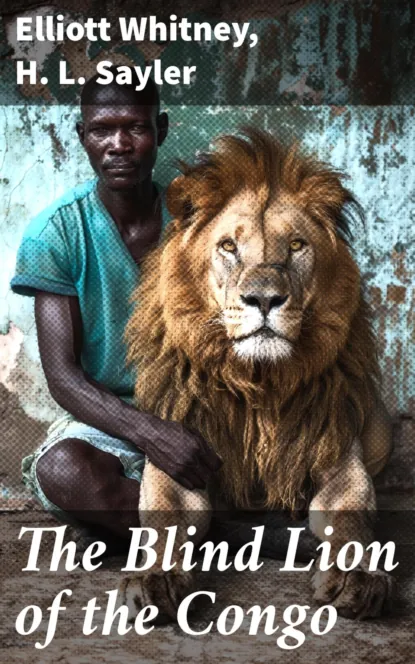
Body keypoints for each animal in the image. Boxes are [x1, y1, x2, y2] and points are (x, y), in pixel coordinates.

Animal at [122, 128, 394, 622]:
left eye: (297, 246)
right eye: (229, 246)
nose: (264, 299)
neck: (259, 382)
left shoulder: (338, 457)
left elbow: (350, 517)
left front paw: (358, 577)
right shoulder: (179, 455)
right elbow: (164, 520)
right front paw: (154, 578)